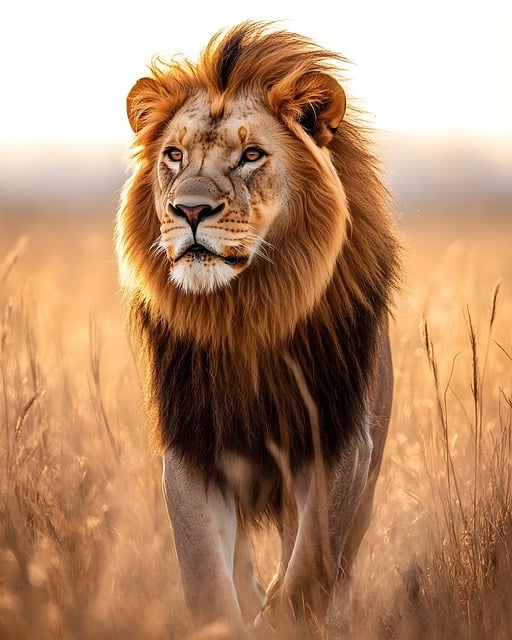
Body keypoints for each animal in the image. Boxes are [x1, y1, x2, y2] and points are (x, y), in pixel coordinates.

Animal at [116, 21, 401, 638]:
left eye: (251, 155)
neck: (244, 316)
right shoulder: (192, 444)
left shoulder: (339, 444)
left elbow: (307, 572)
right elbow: (205, 574)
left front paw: (283, 617)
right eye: (174, 155)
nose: (188, 210)